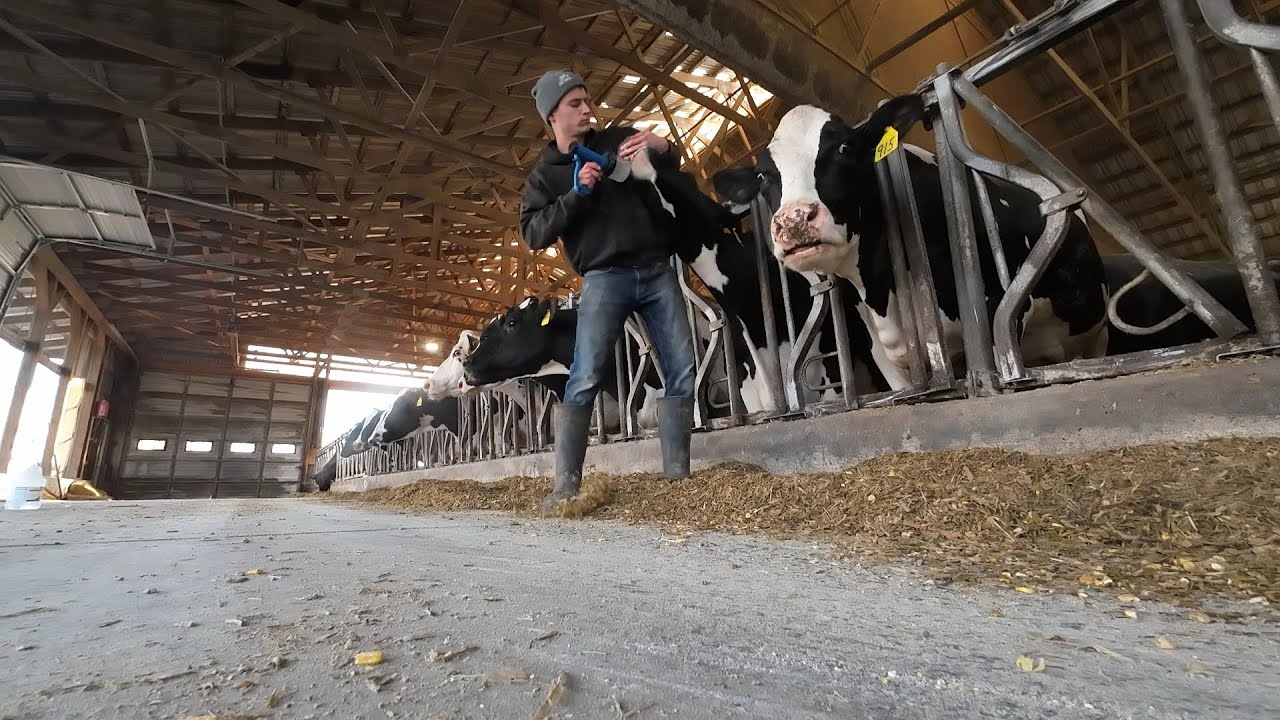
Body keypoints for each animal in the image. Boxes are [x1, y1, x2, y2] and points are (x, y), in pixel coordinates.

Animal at [712, 94, 1111, 390]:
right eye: (763, 175)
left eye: (844, 148)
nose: (793, 221)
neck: (882, 292)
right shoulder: (881, 354)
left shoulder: (1000, 310)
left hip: (1095, 333)